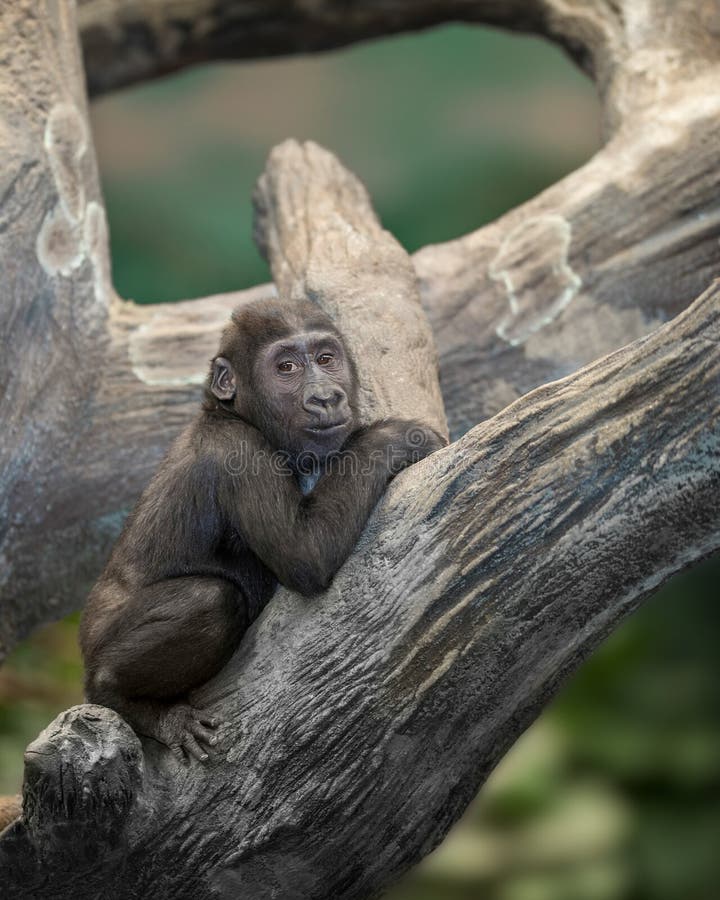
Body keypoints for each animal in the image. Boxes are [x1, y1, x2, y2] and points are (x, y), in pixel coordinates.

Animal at [79, 298, 445, 760]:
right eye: (286, 367)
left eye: (326, 359)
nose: (325, 397)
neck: (229, 410)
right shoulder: (242, 453)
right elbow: (304, 552)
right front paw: (400, 436)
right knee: (209, 601)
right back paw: (129, 701)